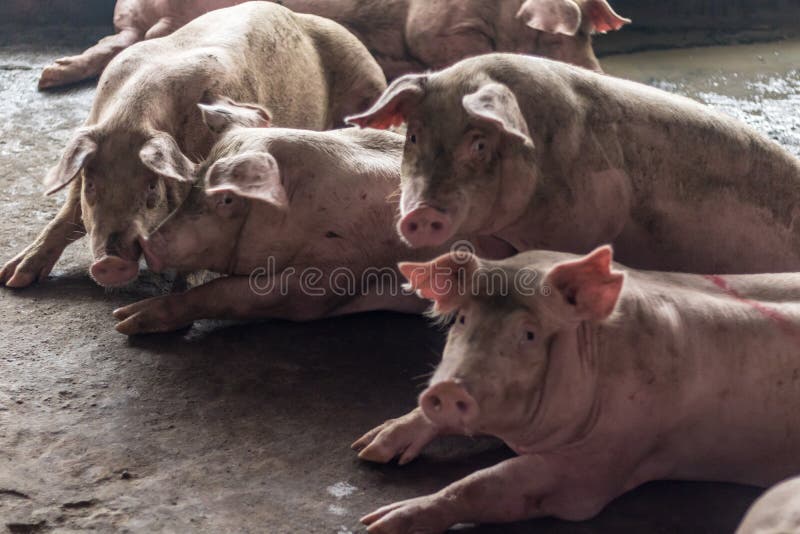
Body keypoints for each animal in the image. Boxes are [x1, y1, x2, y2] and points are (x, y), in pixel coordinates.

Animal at [2, 2, 386, 289]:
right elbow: (66, 216)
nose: (110, 262)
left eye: (152, 187)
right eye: (93, 186)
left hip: (366, 85)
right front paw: (13, 278)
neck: (131, 117)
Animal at [111, 105, 509, 334]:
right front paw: (122, 316)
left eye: (226, 198)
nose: (147, 243)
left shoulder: (331, 274)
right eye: (196, 174)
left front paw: (126, 321)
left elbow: (225, 292)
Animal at [353, 246, 800, 533]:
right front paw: (368, 448)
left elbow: (484, 483)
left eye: (529, 334)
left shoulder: (600, 465)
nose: (448, 390)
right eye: (462, 319)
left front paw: (379, 522)